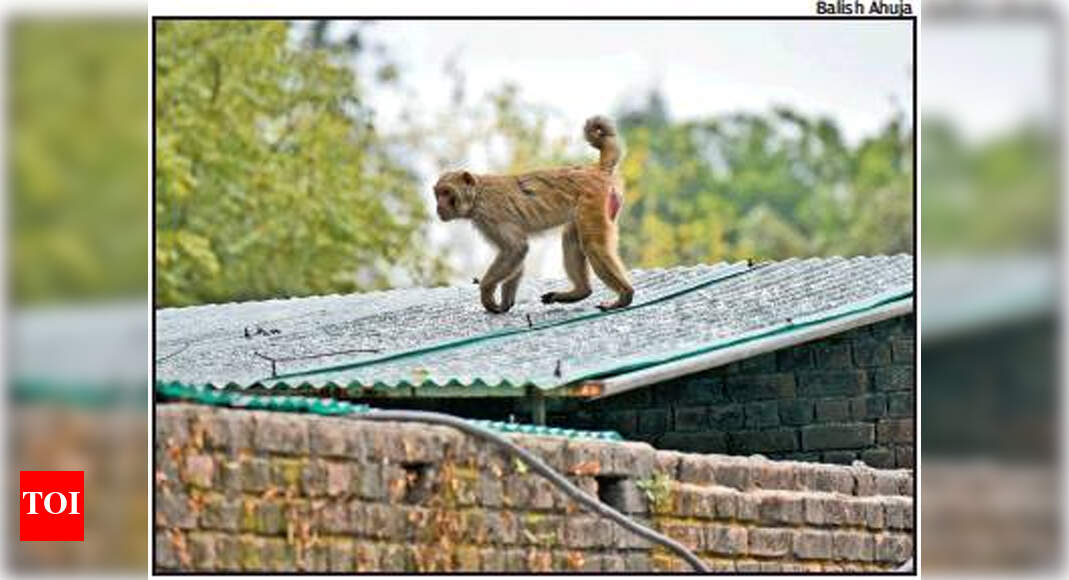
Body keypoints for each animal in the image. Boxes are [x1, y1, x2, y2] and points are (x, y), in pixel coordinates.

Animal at [434, 115, 633, 314]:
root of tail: (596, 169)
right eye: (437, 194)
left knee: (592, 245)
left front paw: (486, 292)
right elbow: (516, 256)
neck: (477, 195)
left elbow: (516, 248)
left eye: (447, 193)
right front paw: (506, 301)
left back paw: (625, 295)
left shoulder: (489, 215)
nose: (439, 206)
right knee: (571, 238)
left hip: (593, 201)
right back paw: (580, 291)